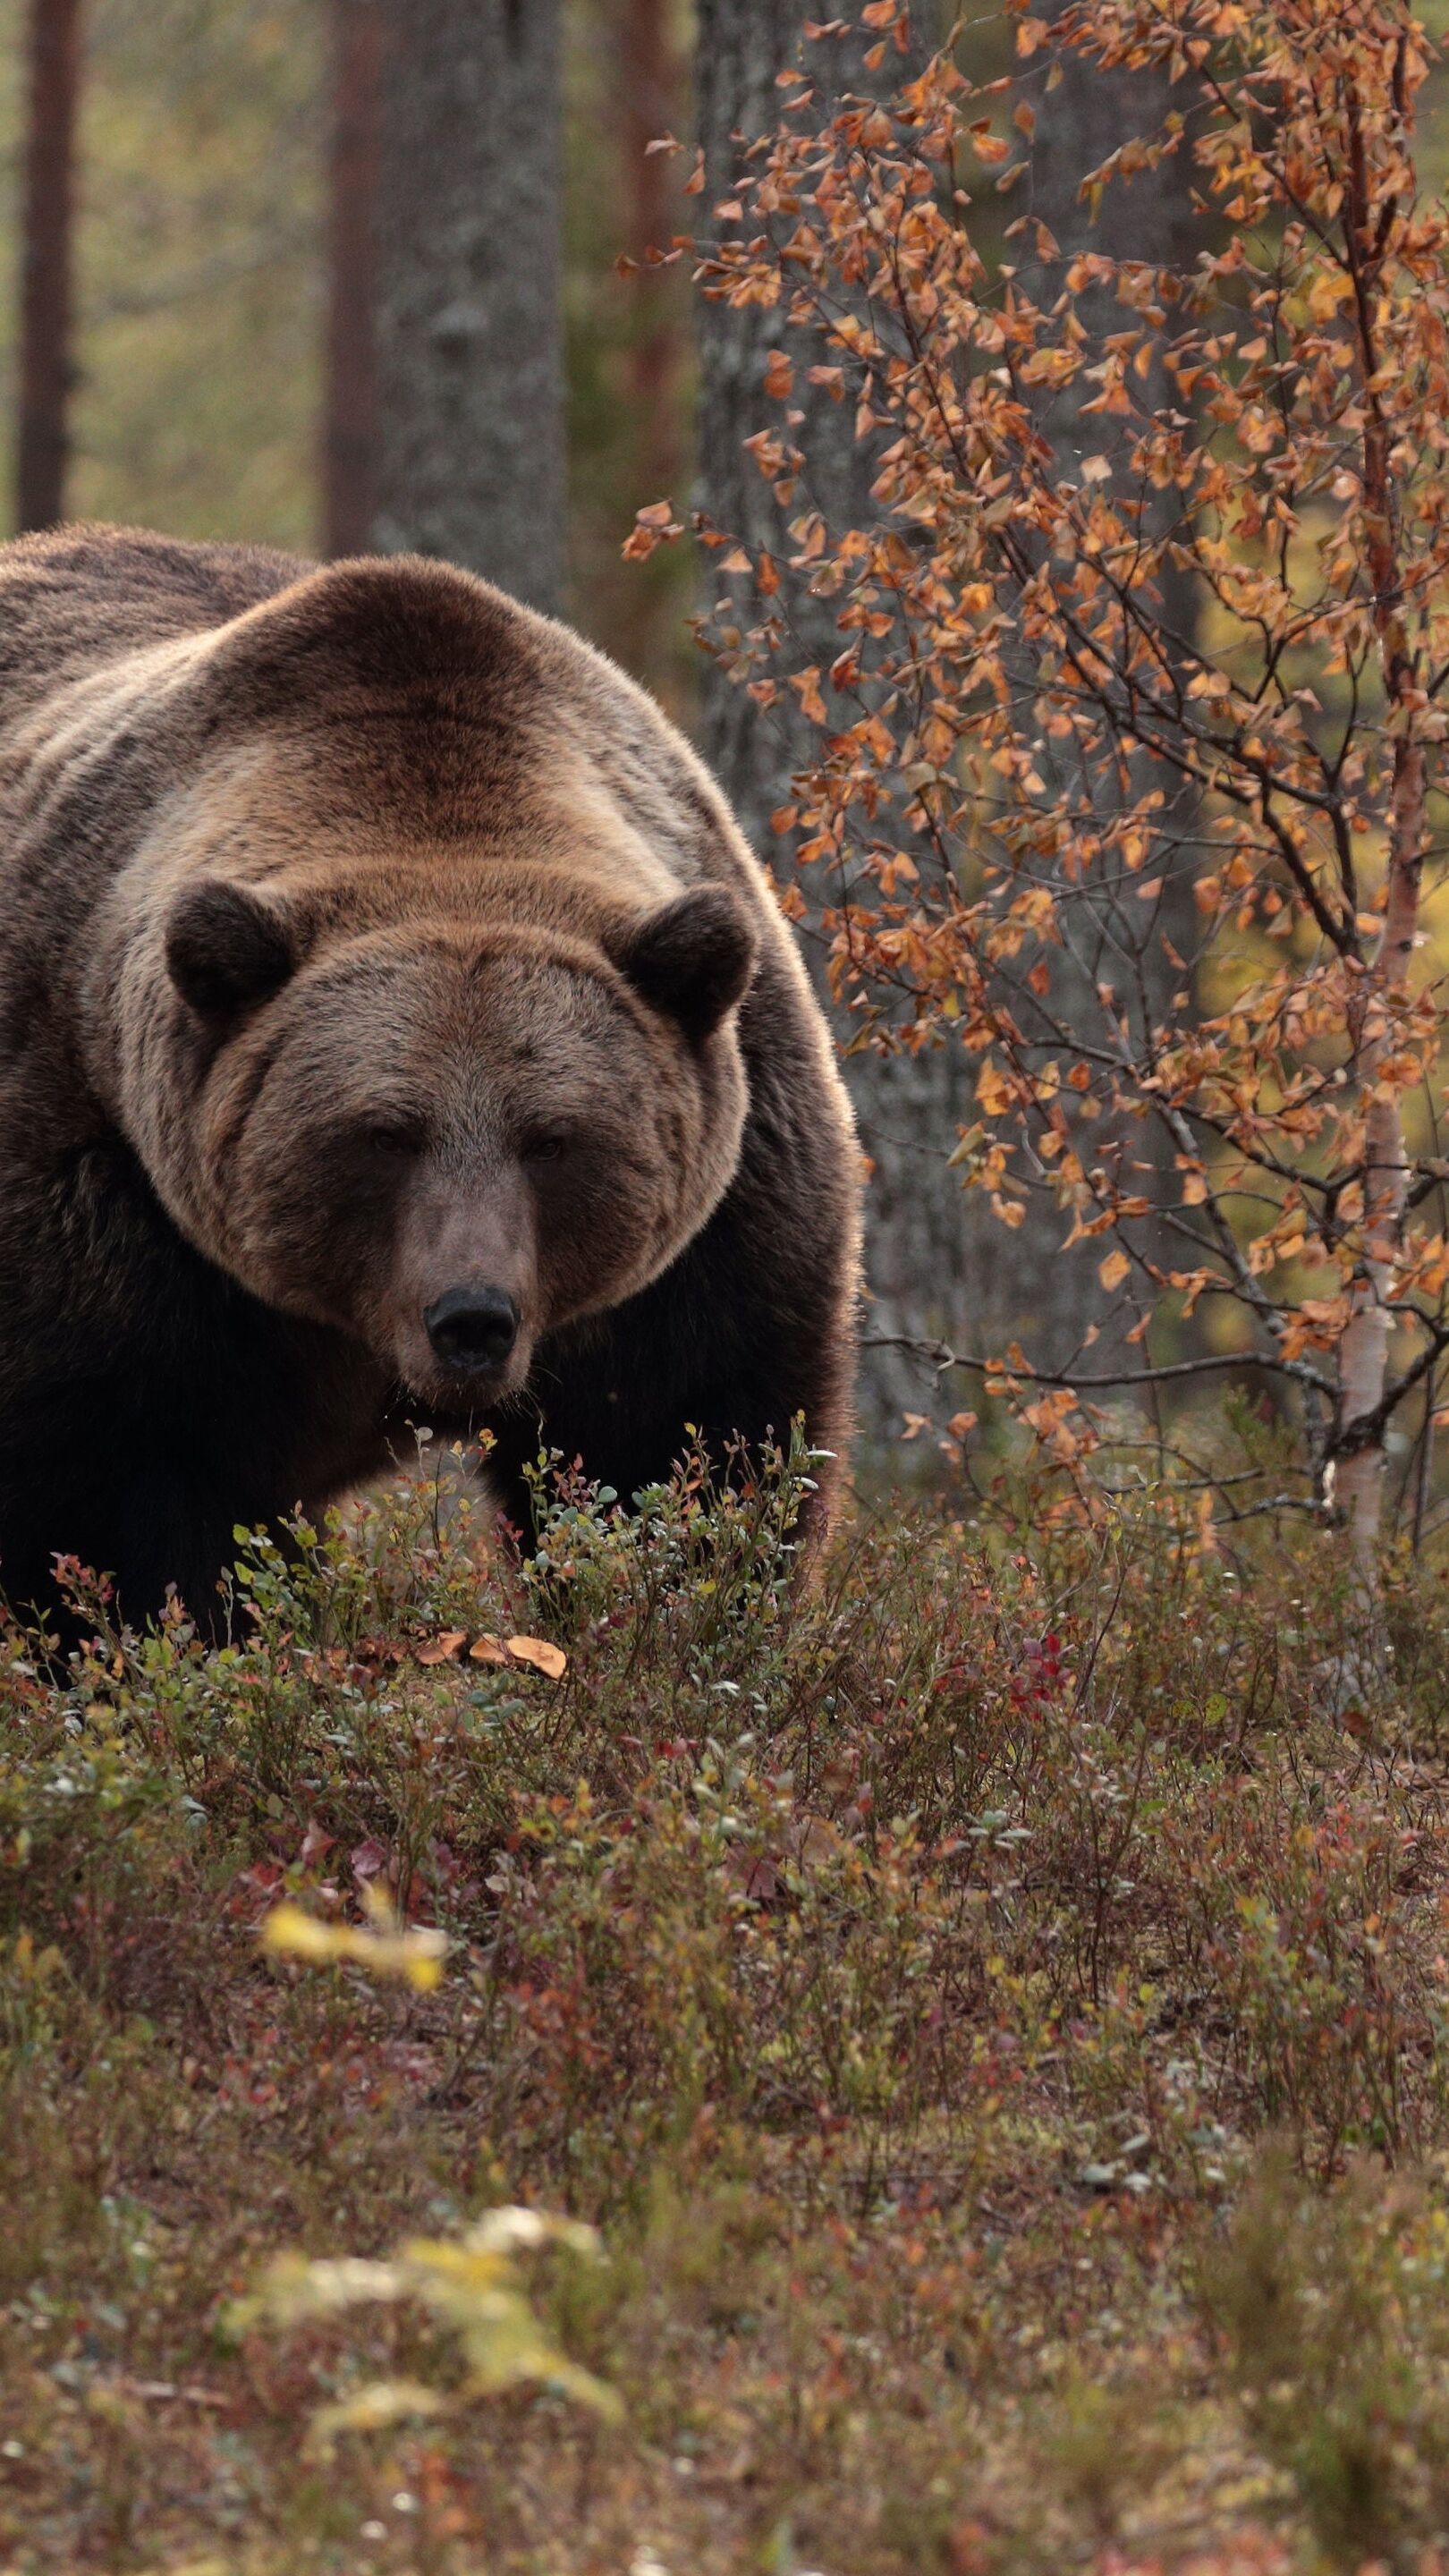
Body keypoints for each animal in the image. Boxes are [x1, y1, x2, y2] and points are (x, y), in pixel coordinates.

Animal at [0, 524, 861, 1631]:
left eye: (554, 1137)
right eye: (382, 1131)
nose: (472, 1320)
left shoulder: (720, 1212)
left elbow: (687, 1454)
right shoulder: (95, 1174)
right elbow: (115, 1500)